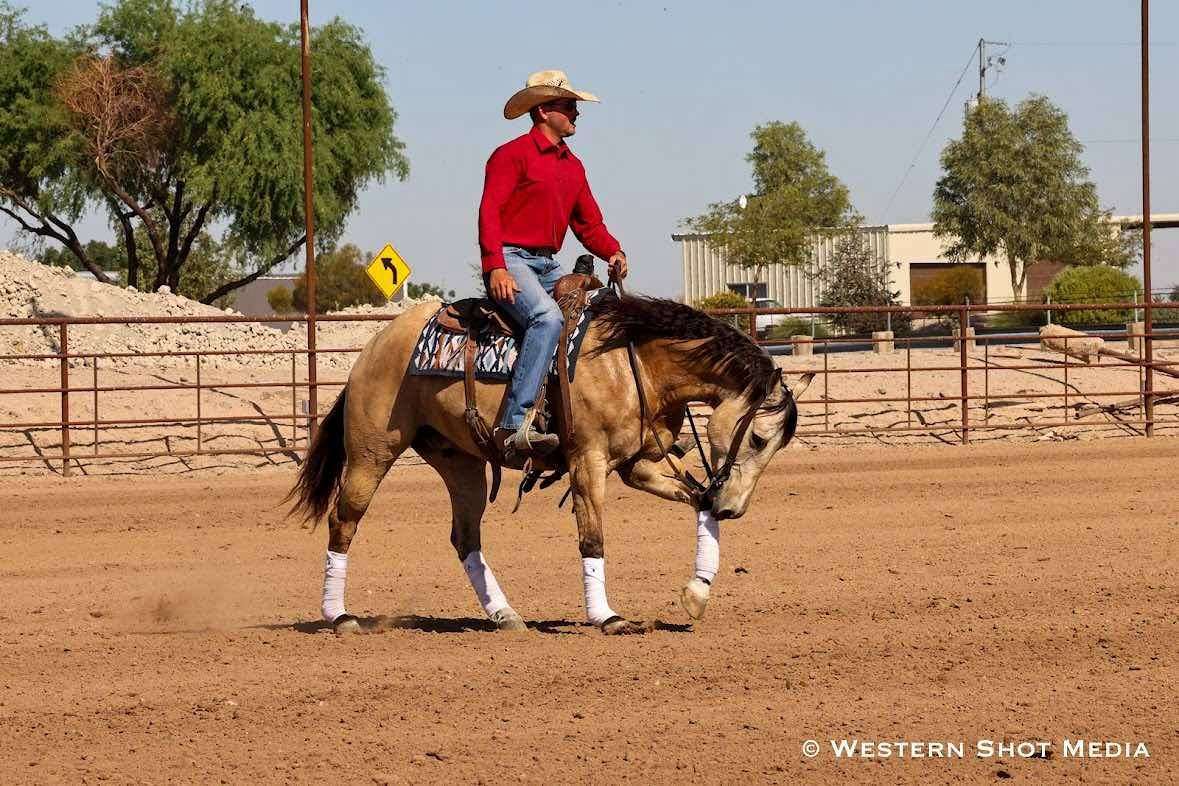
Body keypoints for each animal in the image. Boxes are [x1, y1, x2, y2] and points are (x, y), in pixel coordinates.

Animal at [288, 292, 812, 635]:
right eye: (759, 437)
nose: (734, 509)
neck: (632, 360)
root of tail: (375, 345)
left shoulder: (638, 465)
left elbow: (698, 501)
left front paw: (697, 594)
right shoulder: (588, 462)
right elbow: (592, 538)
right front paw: (607, 617)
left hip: (459, 462)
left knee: (465, 538)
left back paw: (504, 615)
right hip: (372, 451)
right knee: (344, 520)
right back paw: (340, 616)